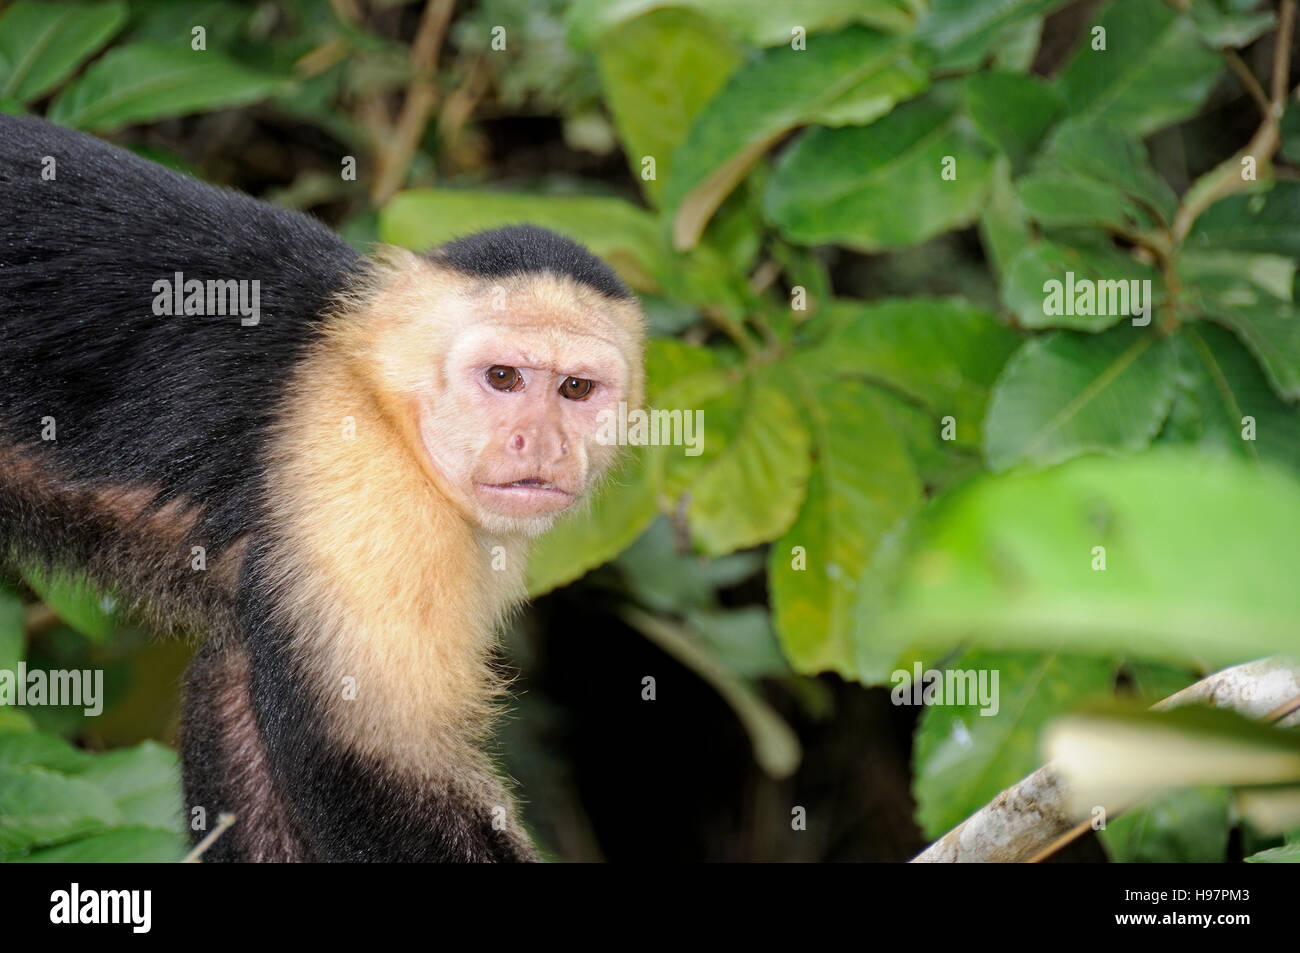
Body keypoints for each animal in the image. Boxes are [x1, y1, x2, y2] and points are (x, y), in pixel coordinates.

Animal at [0, 114, 645, 862]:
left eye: (576, 389)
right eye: (504, 377)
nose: (540, 445)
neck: (378, 395)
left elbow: (240, 685)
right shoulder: (372, 484)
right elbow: (366, 764)